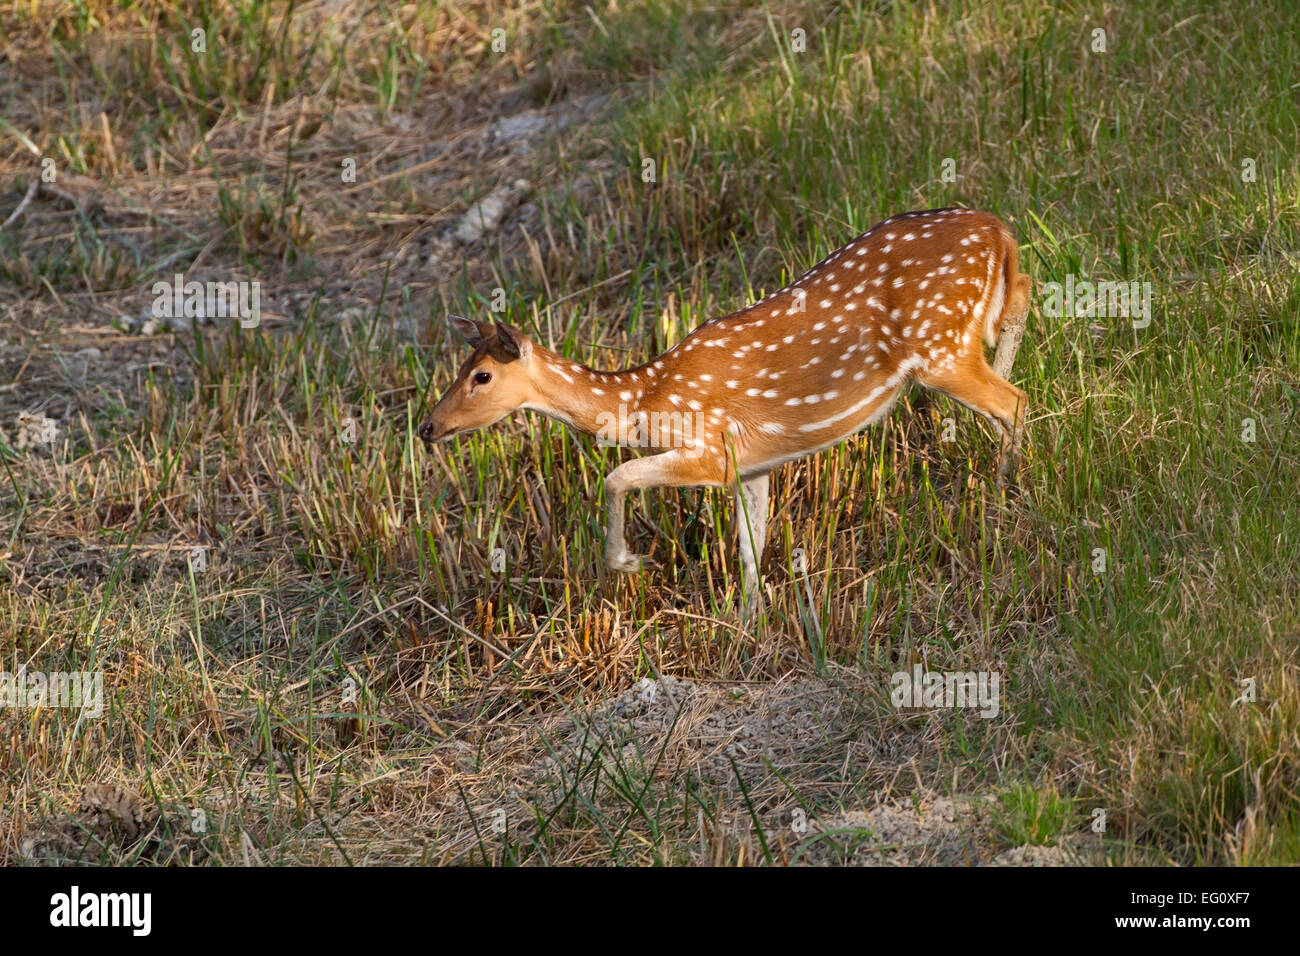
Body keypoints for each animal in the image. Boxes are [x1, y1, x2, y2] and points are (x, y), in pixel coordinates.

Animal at [419, 207, 1030, 618]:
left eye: (481, 376)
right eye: (461, 366)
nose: (427, 427)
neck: (639, 401)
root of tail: (996, 227)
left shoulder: (711, 448)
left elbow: (617, 476)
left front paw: (630, 564)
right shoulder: (752, 463)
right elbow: (749, 547)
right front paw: (749, 621)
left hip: (939, 346)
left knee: (1015, 401)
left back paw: (1003, 503)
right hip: (964, 332)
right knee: (1019, 313)